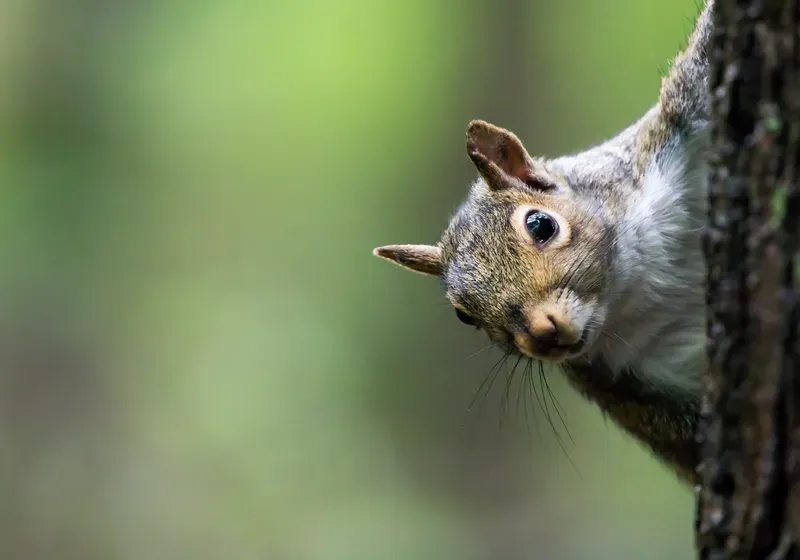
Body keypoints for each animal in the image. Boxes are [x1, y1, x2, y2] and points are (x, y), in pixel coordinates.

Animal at [373, 0, 713, 484]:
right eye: (463, 315)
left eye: (541, 225)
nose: (541, 333)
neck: (634, 286)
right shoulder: (634, 390)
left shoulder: (672, 134)